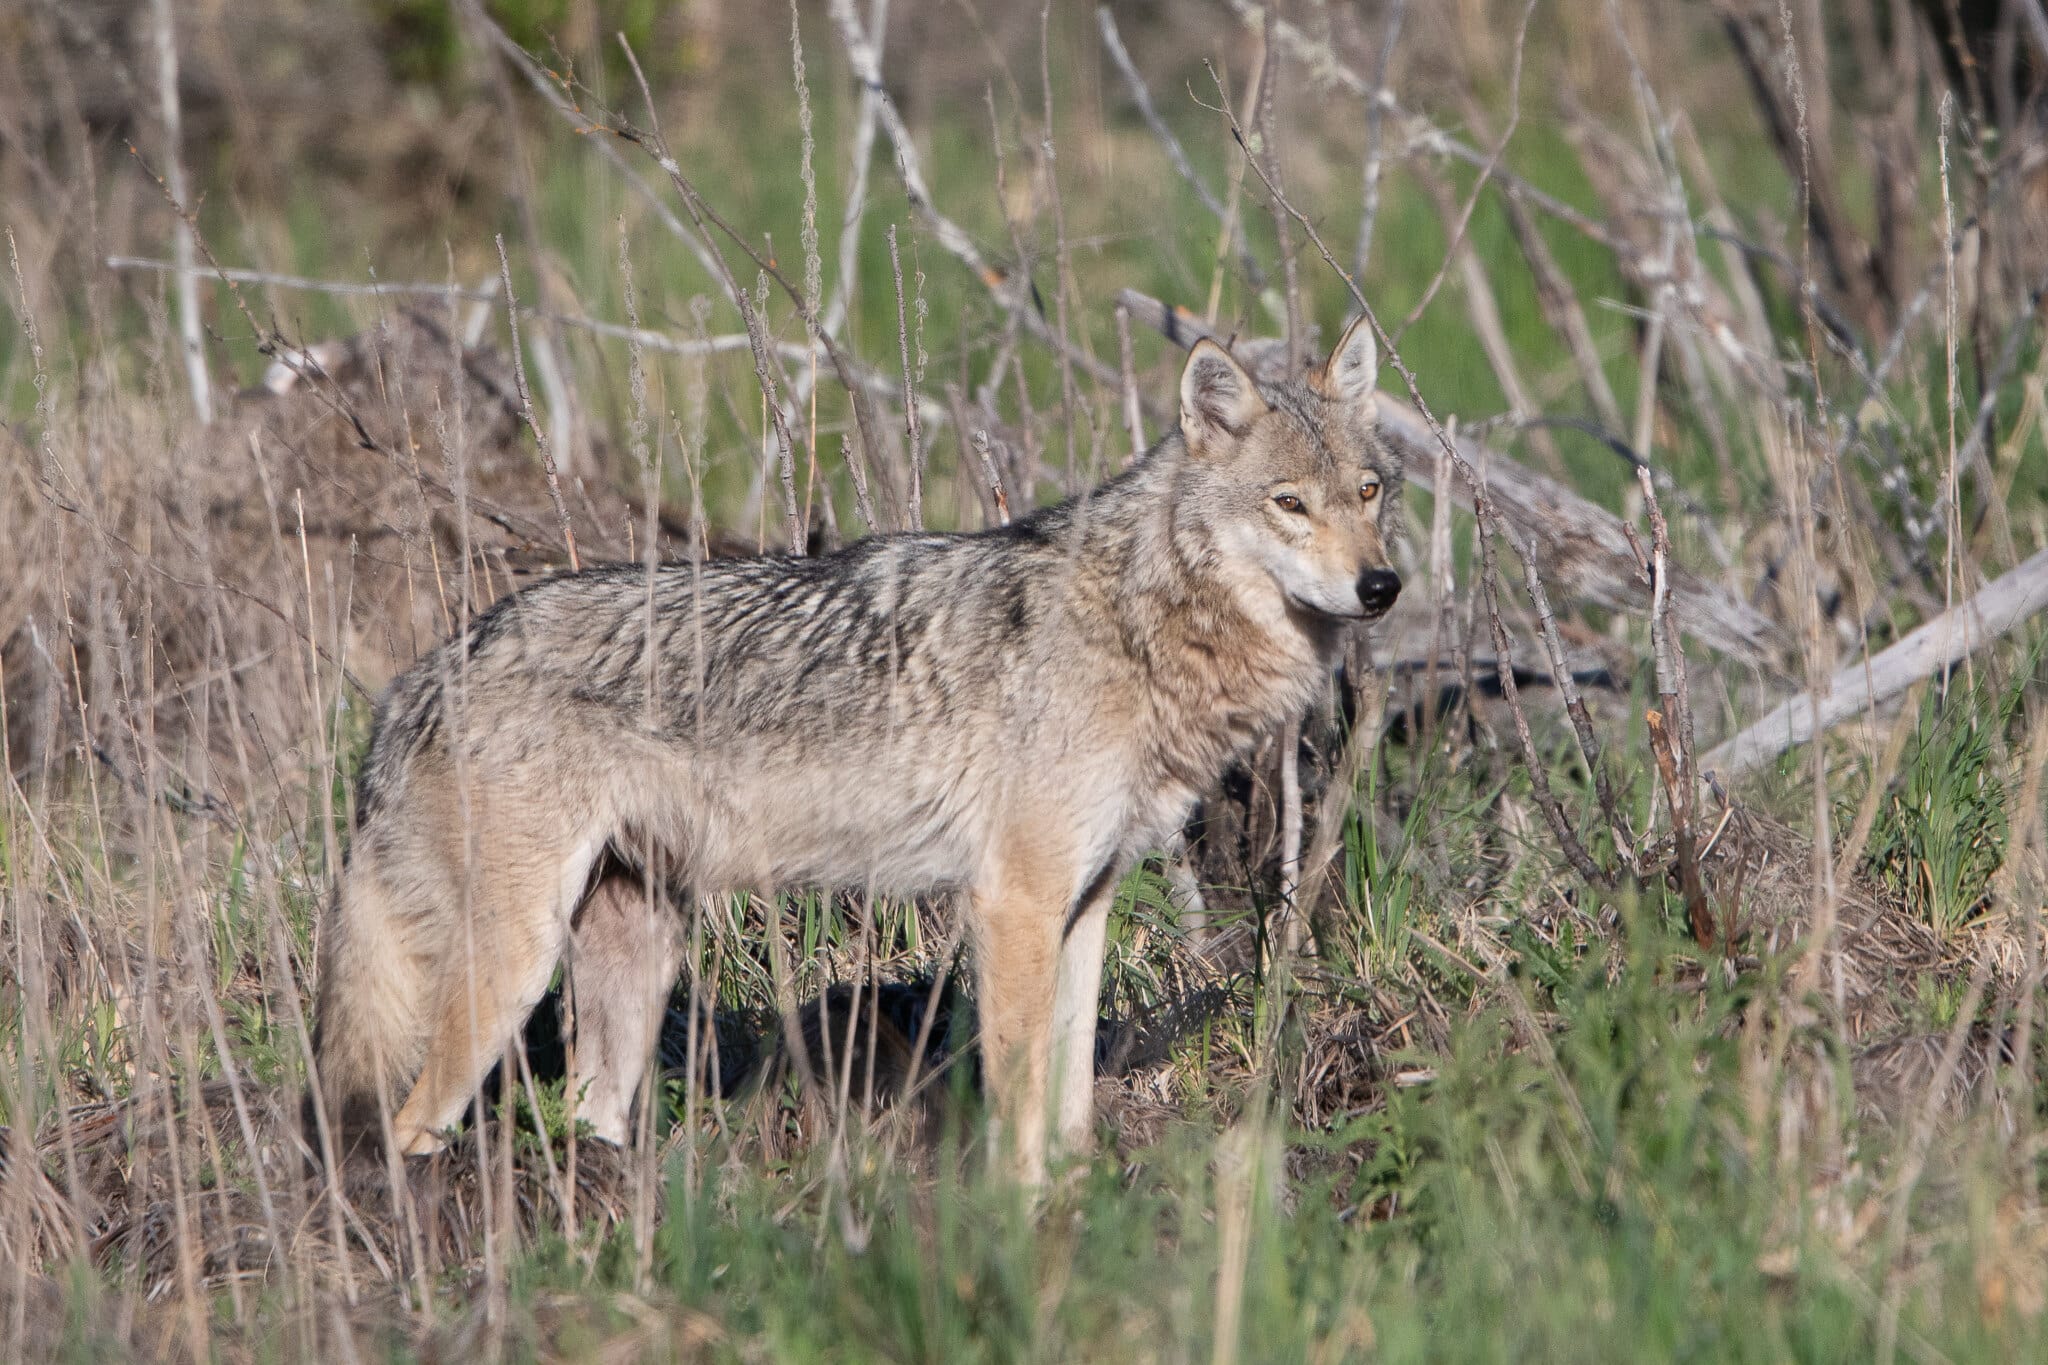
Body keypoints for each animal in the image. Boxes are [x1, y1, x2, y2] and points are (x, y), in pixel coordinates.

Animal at [310, 317, 1402, 1185]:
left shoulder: (1083, 904)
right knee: (409, 1120)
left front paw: (1077, 1203)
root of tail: (422, 674)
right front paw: (1021, 1225)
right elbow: (1016, 1099)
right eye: (1289, 504)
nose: (1382, 586)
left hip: (632, 957)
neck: (1137, 625)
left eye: (1369, 491)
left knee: (587, 1112)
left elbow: (1070, 1099)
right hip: (512, 964)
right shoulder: (1011, 903)